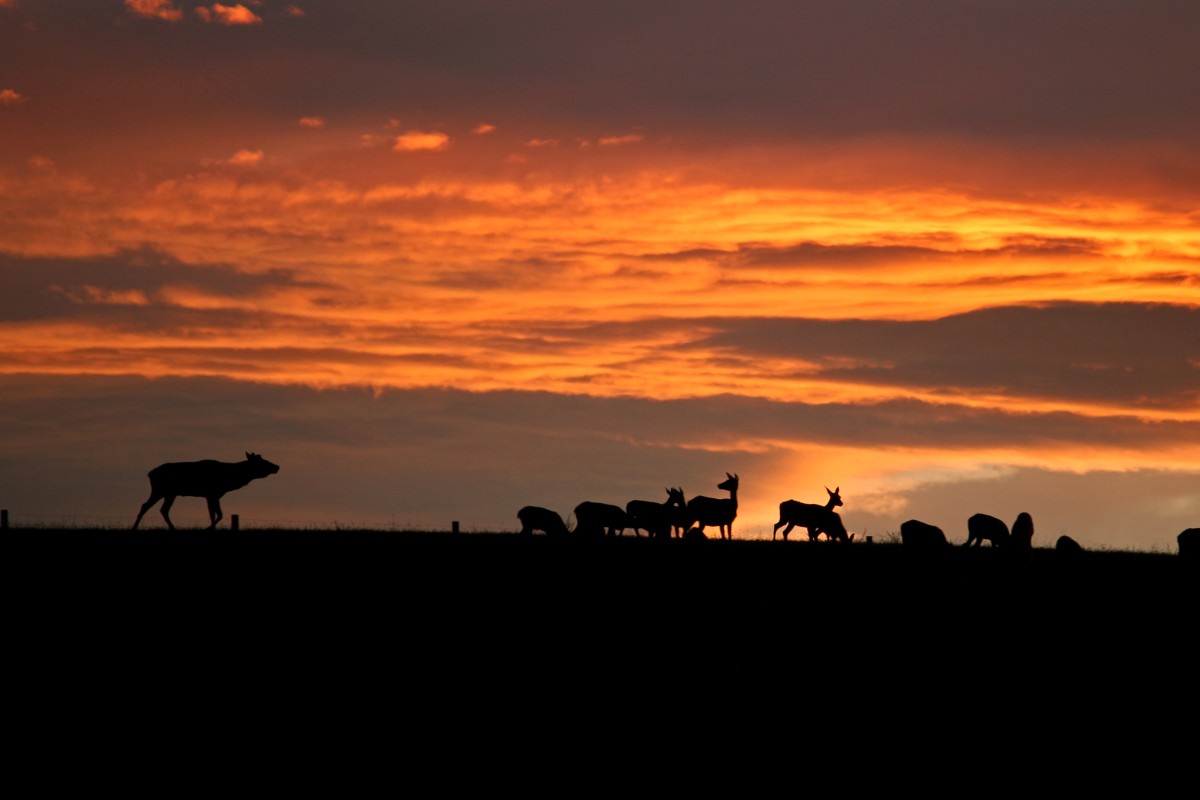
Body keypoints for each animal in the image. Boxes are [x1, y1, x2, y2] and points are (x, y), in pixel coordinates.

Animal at [132, 452, 280, 530]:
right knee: (146, 506)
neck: (229, 479)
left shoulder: (214, 495)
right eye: (261, 461)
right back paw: (135, 527)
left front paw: (211, 528)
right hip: (160, 490)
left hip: (170, 493)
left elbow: (216, 514)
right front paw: (208, 528)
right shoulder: (211, 494)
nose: (277, 466)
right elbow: (216, 515)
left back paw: (172, 528)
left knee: (162, 509)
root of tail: (150, 474)